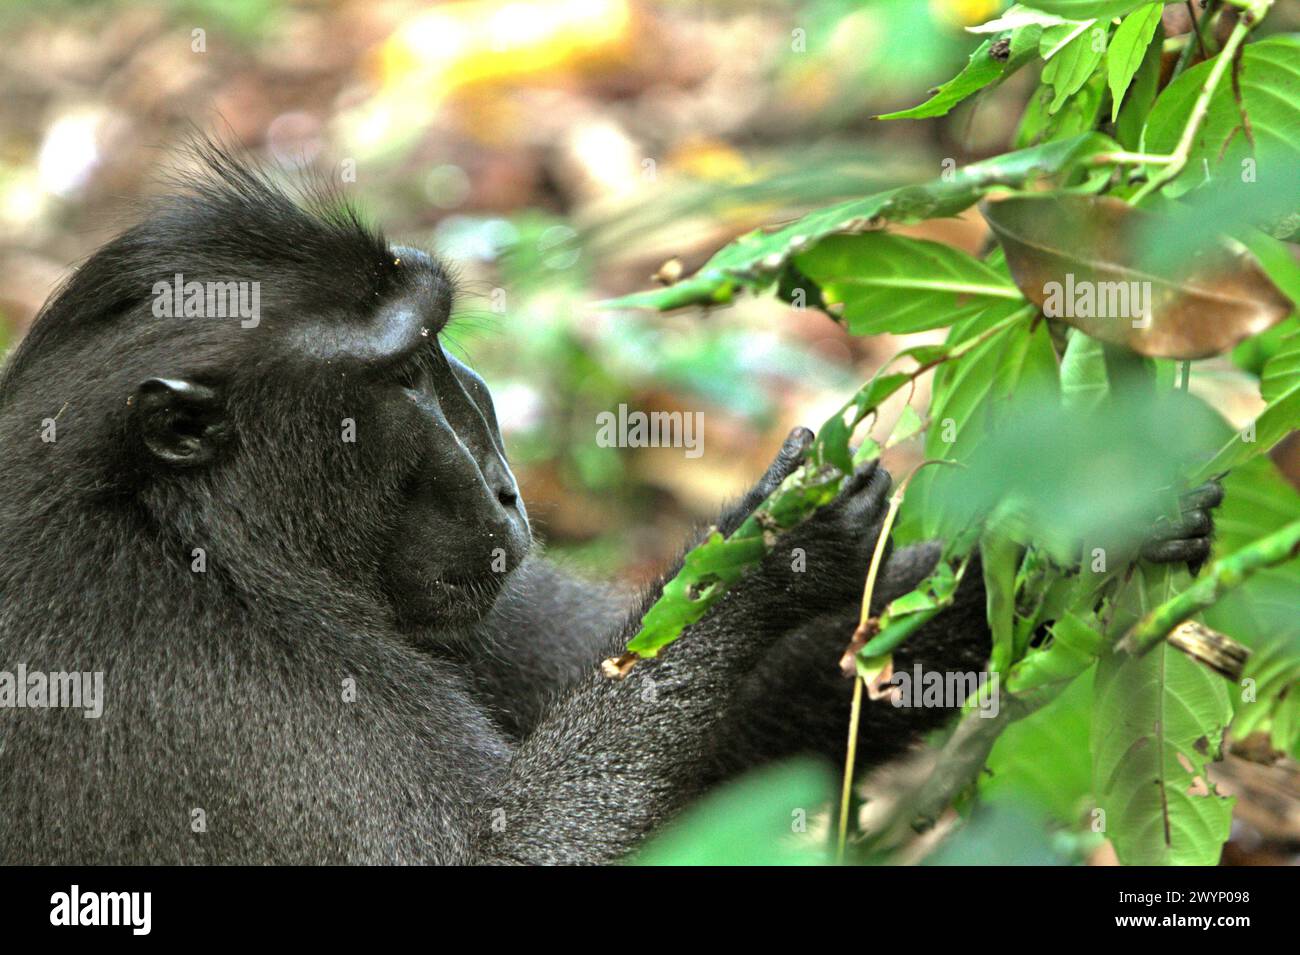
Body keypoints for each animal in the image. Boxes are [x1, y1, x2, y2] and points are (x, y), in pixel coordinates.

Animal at [0, 144, 1220, 864]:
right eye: (406, 375)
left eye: (437, 345)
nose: (503, 482)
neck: (185, 528)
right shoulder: (205, 680)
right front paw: (766, 558)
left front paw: (1067, 534)